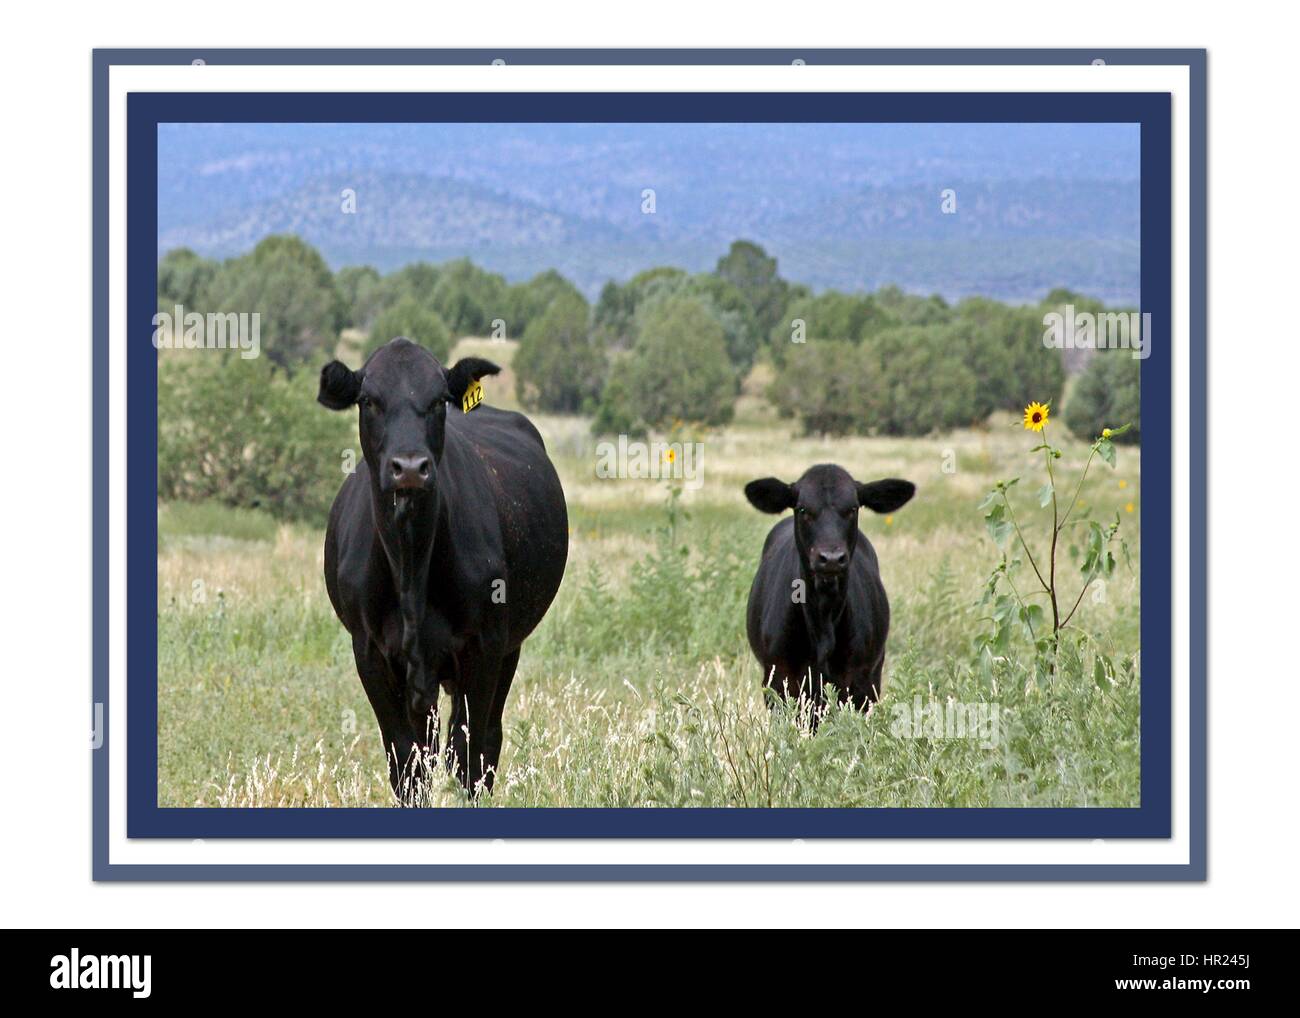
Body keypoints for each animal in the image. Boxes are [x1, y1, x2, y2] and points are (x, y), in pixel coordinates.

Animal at [318, 338, 568, 797]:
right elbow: (406, 762)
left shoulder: (484, 646)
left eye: (438, 400)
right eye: (368, 400)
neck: (411, 562)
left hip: (508, 648)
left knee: (485, 739)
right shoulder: (370, 652)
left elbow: (470, 752)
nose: (409, 467)